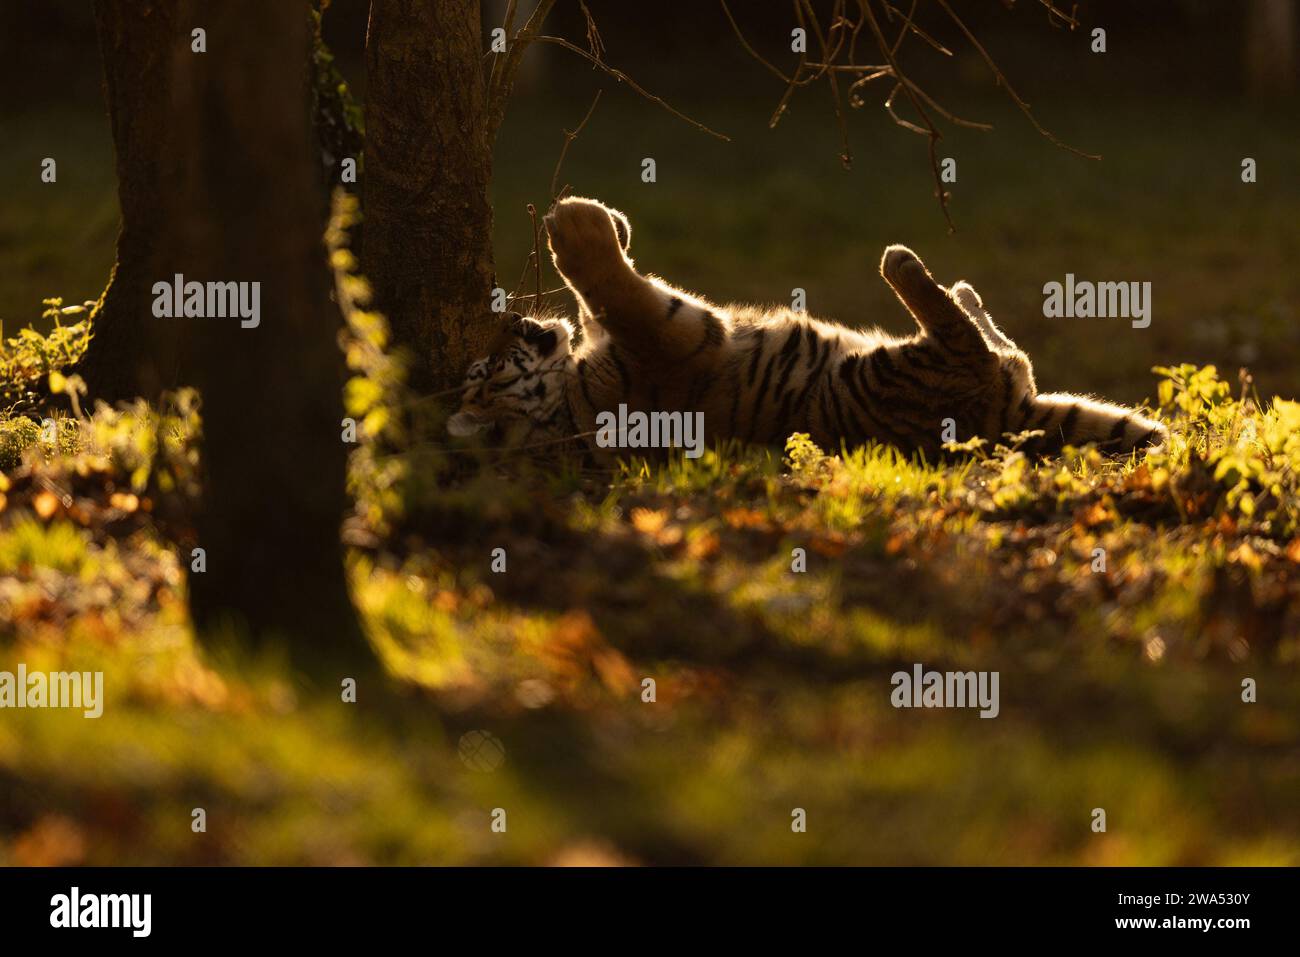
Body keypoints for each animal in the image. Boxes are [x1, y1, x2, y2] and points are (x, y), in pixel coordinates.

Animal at [447, 196, 1167, 463]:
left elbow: (603, 291)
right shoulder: (677, 336)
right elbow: (613, 289)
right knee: (973, 342)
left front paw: (604, 222)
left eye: (491, 360)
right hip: (900, 375)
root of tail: (1004, 420)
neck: (569, 405)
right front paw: (576, 226)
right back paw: (905, 265)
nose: (515, 319)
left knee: (998, 343)